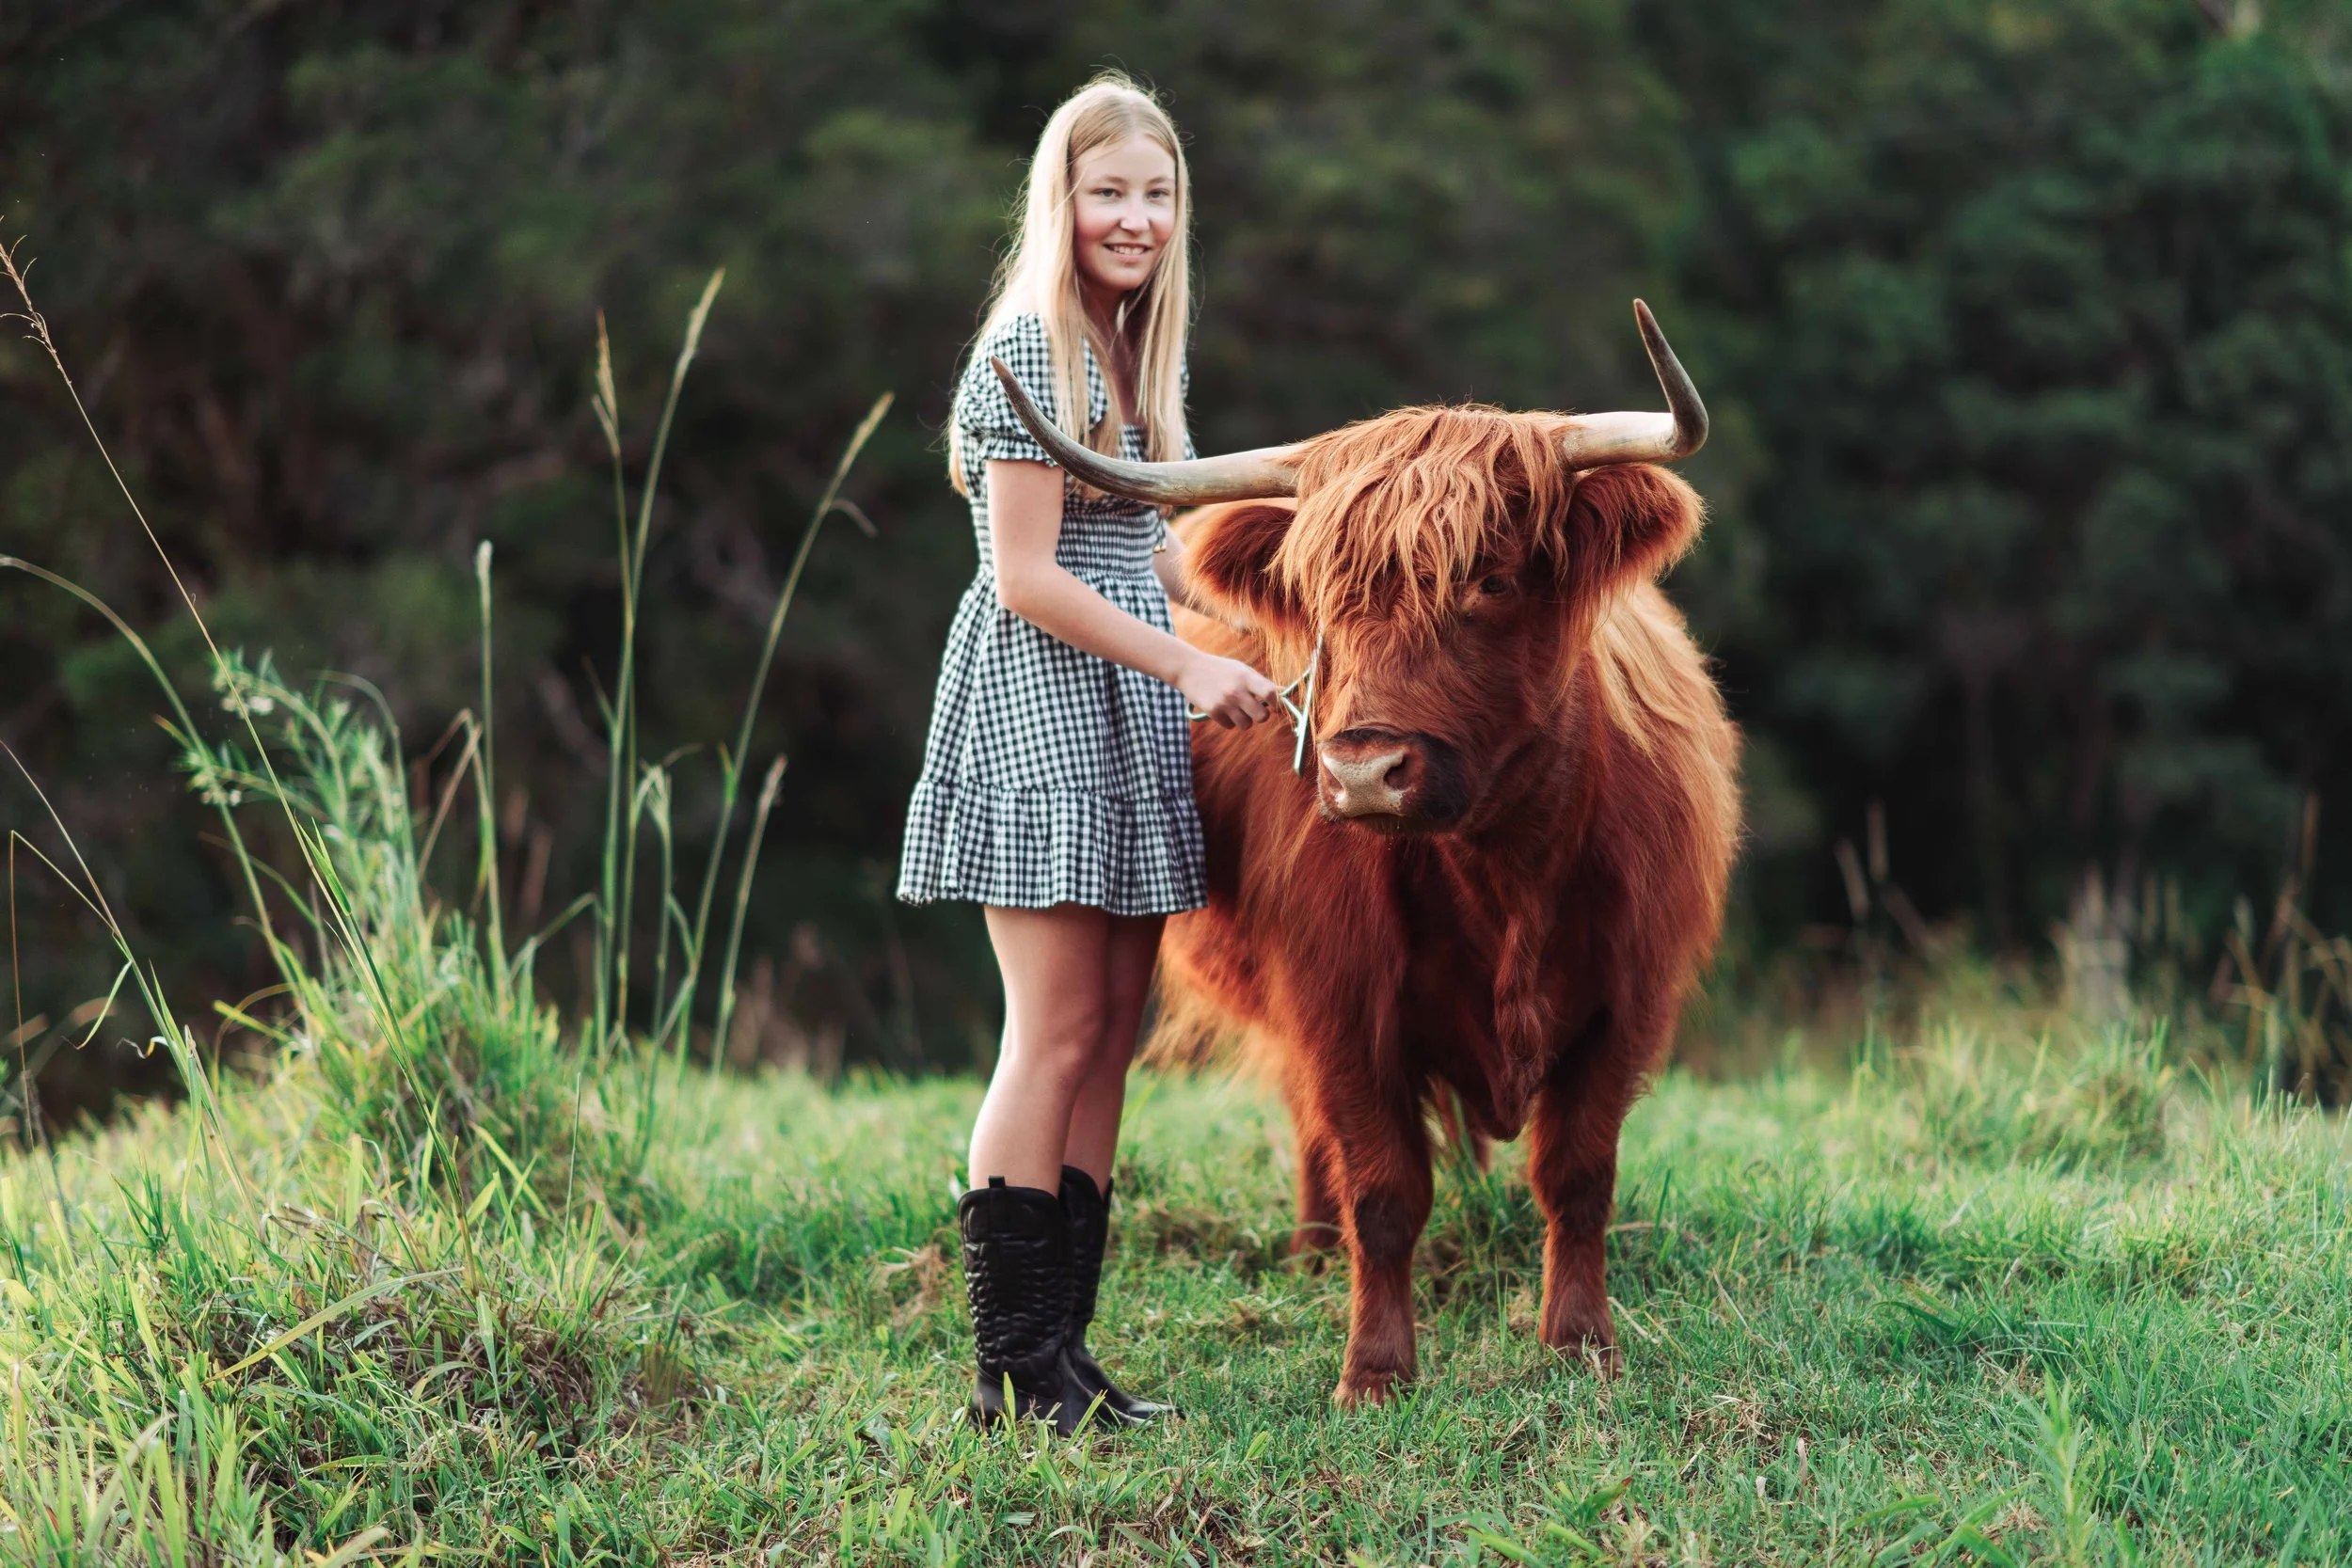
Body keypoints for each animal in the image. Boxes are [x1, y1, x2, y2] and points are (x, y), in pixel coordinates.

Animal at [992, 302, 1740, 1407]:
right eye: (1315, 595)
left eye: (1491, 578)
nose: (1363, 771)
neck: (1503, 869)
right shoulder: (1340, 995)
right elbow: (1383, 1183)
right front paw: (1376, 1371)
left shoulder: (1625, 997)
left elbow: (1577, 1173)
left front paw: (1580, 1345)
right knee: (1313, 1126)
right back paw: (1310, 1251)